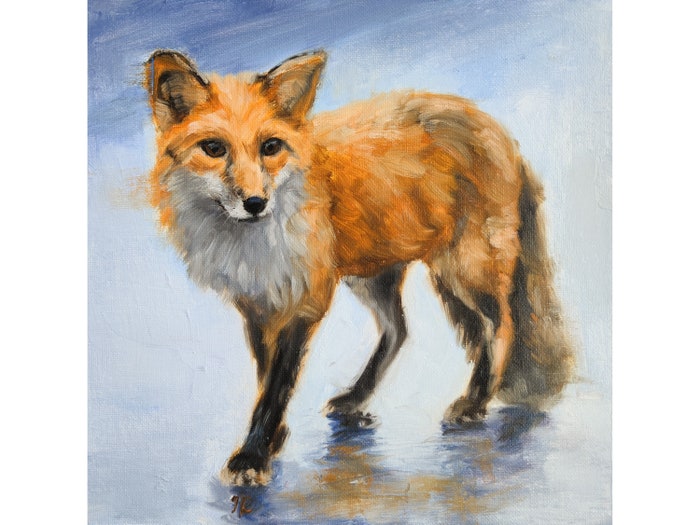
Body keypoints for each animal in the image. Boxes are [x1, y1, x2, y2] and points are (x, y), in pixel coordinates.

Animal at [144, 49, 574, 486]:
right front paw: (272, 439)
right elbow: (265, 380)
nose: (255, 203)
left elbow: (276, 387)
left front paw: (253, 455)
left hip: (465, 270)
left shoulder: (305, 300)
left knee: (501, 327)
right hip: (374, 276)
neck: (253, 245)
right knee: (399, 330)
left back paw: (475, 401)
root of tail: (501, 134)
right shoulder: (259, 305)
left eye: (270, 146)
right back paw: (357, 397)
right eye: (214, 148)